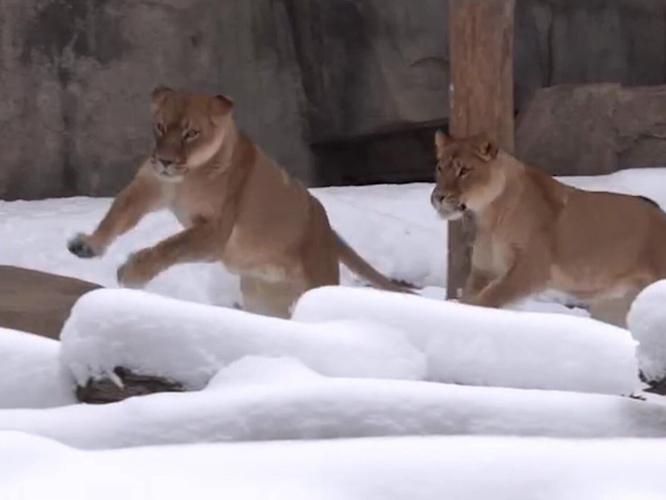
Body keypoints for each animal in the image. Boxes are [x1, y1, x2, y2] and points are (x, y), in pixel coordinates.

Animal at [67, 87, 407, 318]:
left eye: (191, 133)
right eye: (160, 126)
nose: (163, 160)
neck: (187, 178)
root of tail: (327, 226)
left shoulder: (215, 232)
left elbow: (171, 246)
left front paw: (132, 272)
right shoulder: (148, 188)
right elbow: (116, 215)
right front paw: (87, 245)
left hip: (316, 280)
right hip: (263, 298)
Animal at [430, 130, 666, 327]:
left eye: (463, 170)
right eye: (440, 168)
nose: (438, 197)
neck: (489, 216)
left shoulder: (530, 269)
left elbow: (488, 298)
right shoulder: (483, 271)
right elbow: (470, 298)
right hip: (614, 305)